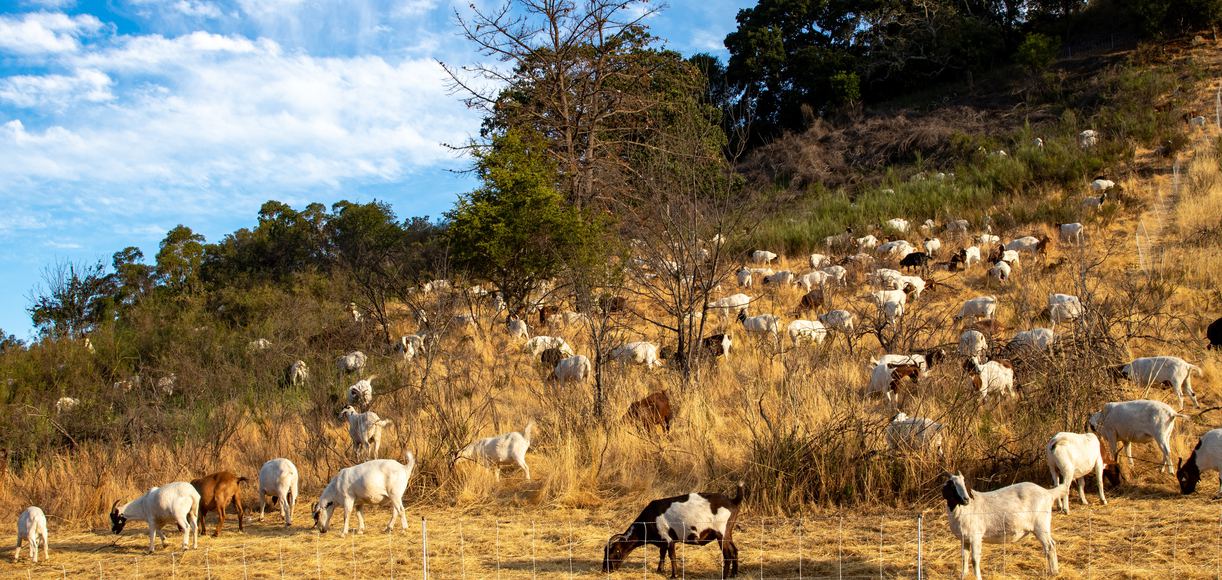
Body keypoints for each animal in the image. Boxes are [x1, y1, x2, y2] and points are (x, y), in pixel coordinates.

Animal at [603, 482, 743, 578]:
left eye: (613, 553)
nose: (605, 570)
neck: (650, 518)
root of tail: (733, 501)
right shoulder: (663, 542)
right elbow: (662, 554)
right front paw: (660, 570)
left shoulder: (669, 539)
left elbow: (672, 556)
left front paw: (673, 575)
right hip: (728, 533)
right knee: (734, 551)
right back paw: (734, 574)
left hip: (721, 534)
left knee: (727, 555)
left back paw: (724, 576)